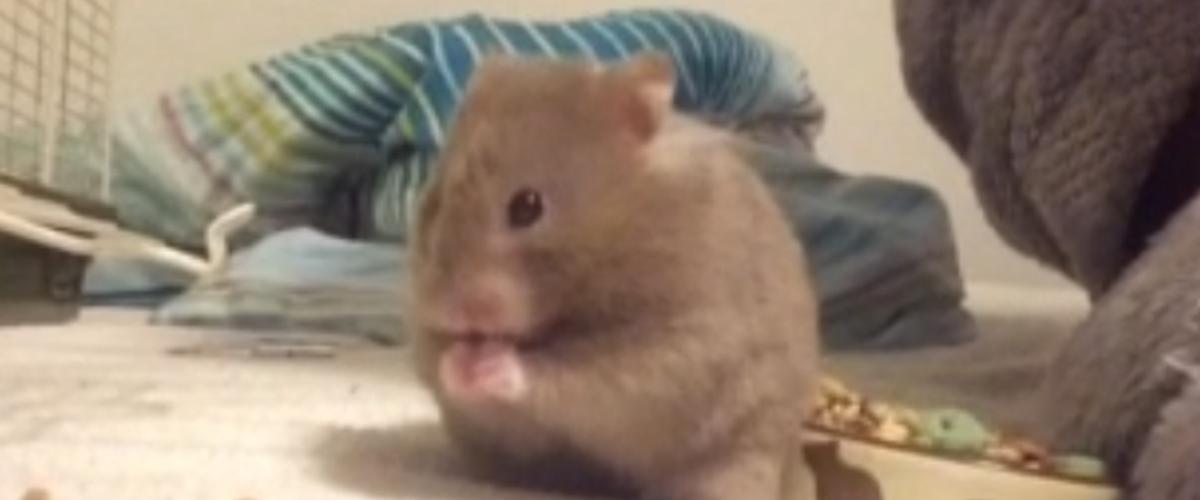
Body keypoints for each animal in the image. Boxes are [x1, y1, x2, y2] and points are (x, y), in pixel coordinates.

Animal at [408, 52, 821, 500]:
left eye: (527, 206)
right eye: (435, 200)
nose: (447, 311)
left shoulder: (672, 353)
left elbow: (566, 376)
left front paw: (483, 362)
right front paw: (454, 361)